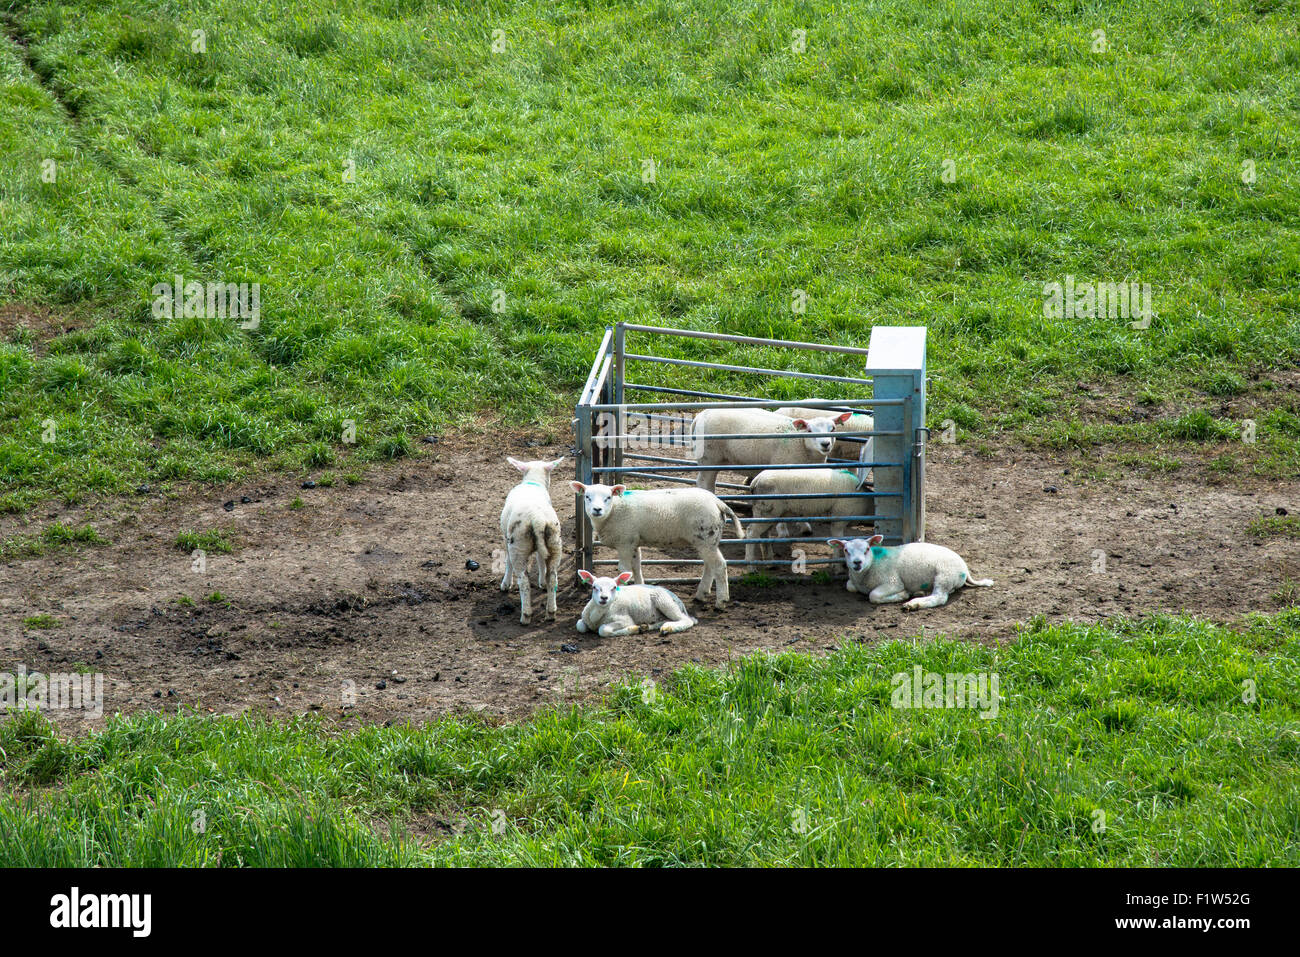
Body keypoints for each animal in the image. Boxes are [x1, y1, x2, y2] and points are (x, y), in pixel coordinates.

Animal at [499, 456, 565, 624]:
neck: (533, 482)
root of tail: (537, 518)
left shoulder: (506, 538)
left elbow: (507, 561)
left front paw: (506, 583)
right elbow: (540, 559)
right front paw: (542, 581)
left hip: (518, 545)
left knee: (524, 581)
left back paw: (526, 615)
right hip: (554, 541)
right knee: (553, 577)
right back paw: (551, 611)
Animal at [571, 481, 742, 607]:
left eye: (608, 497)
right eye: (587, 496)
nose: (597, 509)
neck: (614, 511)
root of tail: (718, 502)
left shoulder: (625, 541)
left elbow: (624, 569)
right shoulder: (633, 541)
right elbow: (636, 567)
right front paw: (640, 588)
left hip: (706, 536)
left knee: (719, 565)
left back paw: (721, 601)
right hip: (707, 539)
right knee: (709, 565)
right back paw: (701, 594)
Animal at [690, 408, 850, 493]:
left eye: (833, 428)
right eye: (810, 430)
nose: (825, 444)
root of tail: (701, 415)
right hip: (709, 457)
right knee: (704, 482)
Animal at [827, 535, 994, 610]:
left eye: (867, 549)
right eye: (846, 550)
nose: (857, 562)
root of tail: (965, 568)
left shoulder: (893, 582)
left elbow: (873, 595)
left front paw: (903, 595)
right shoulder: (854, 582)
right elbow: (849, 586)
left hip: (944, 574)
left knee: (939, 597)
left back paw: (913, 603)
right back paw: (920, 593)